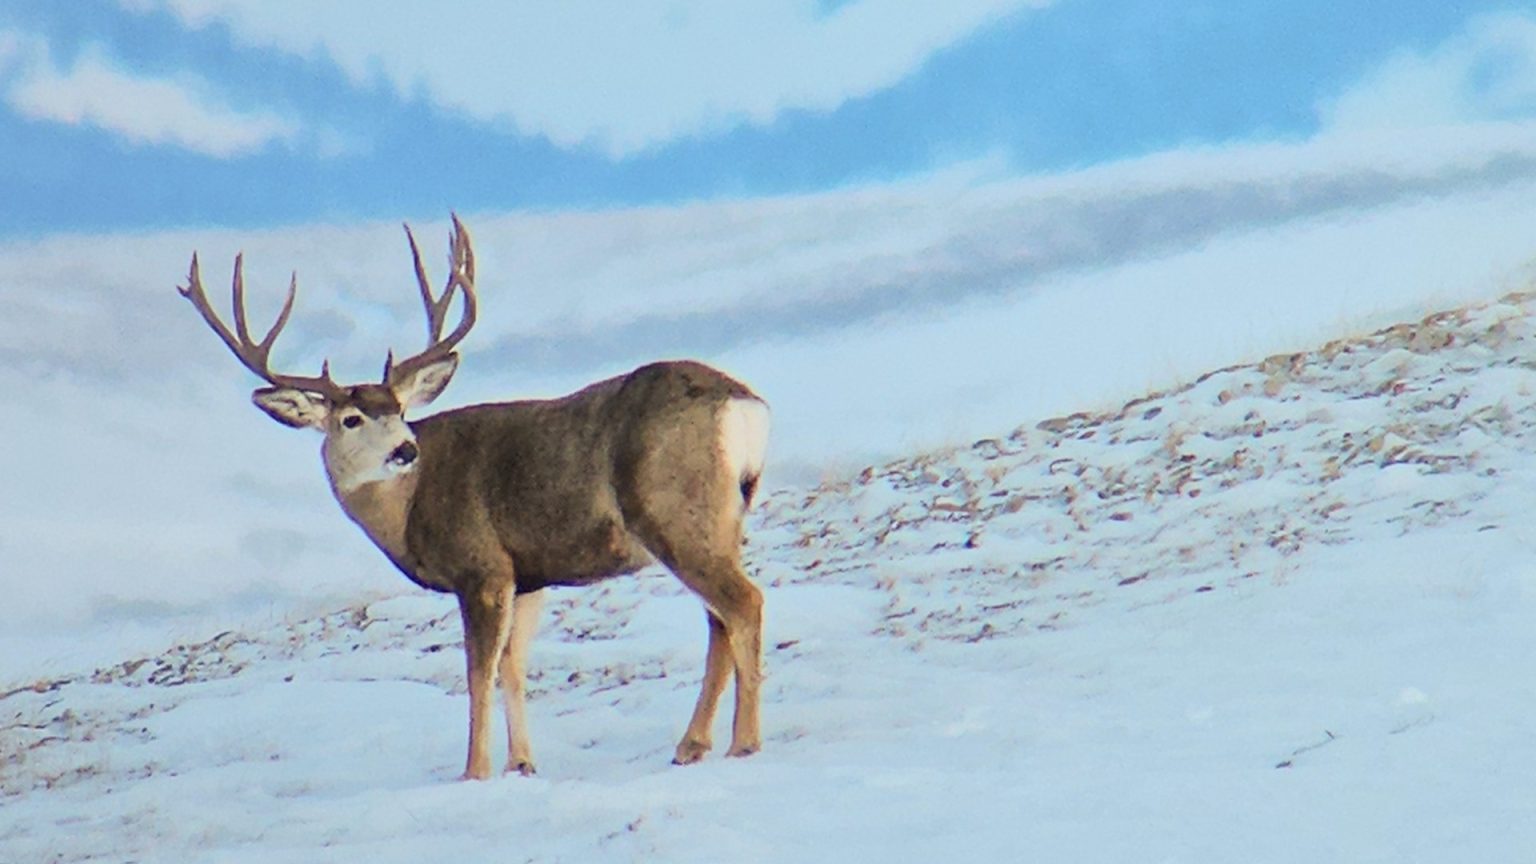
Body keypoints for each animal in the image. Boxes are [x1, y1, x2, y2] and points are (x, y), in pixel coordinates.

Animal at [176, 216, 770, 780]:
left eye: (399, 409)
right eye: (352, 418)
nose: (405, 449)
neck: (406, 512)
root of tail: (742, 403)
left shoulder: (480, 566)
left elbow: (477, 673)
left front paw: (474, 771)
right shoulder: (528, 574)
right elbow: (513, 667)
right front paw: (521, 764)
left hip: (672, 509)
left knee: (743, 604)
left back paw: (743, 743)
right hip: (725, 517)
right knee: (718, 617)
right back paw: (691, 746)